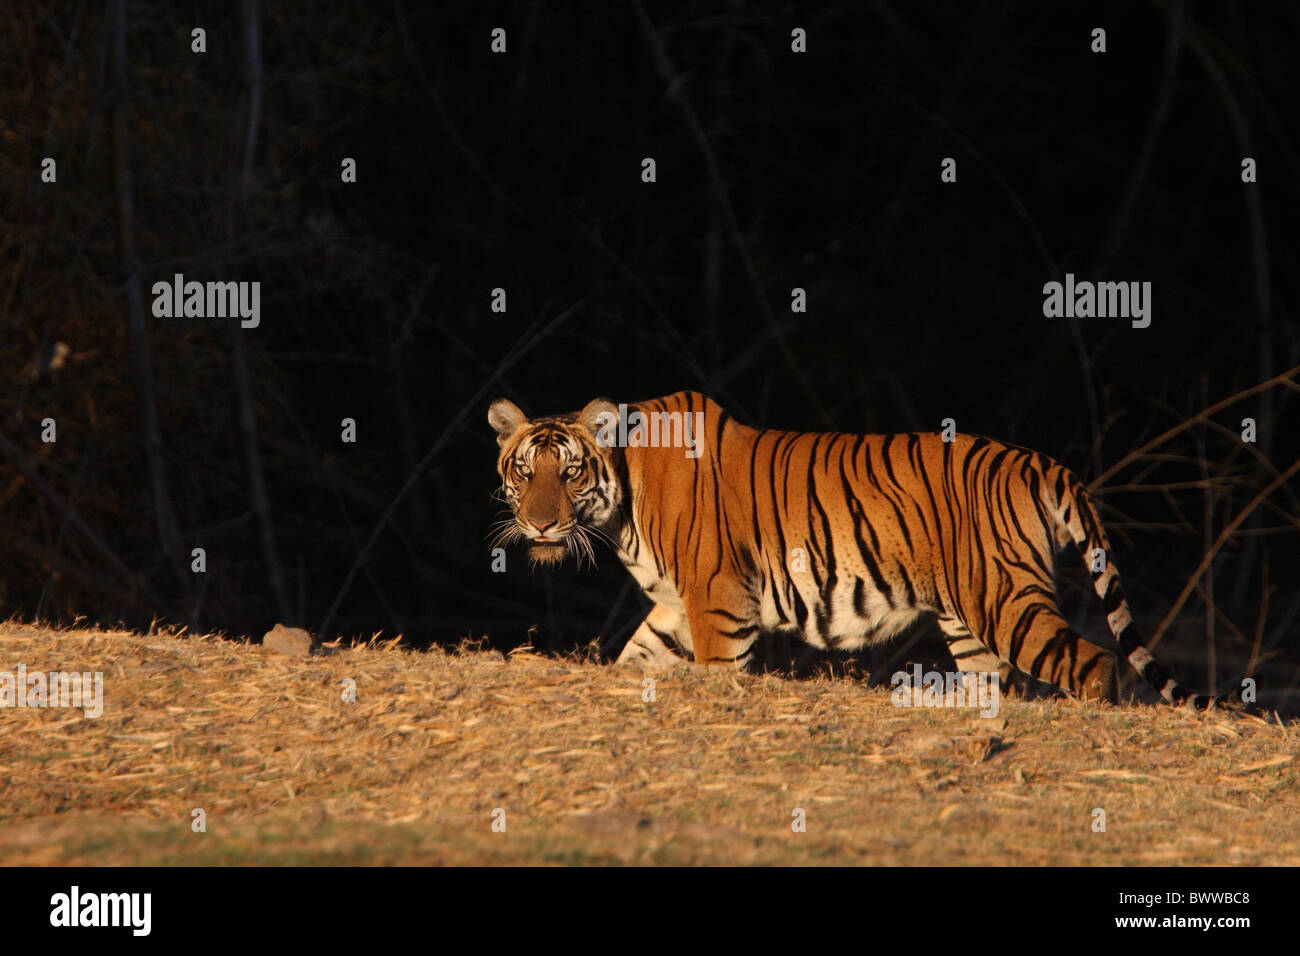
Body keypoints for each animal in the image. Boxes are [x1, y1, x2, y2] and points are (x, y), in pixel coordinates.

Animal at [488, 390, 1239, 708]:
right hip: (969, 620)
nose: (541, 525)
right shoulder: (676, 609)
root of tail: (1040, 463)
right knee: (994, 676)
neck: (622, 504)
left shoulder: (717, 600)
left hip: (1007, 602)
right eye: (525, 472)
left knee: (1095, 662)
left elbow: (718, 668)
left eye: (570, 473)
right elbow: (636, 657)